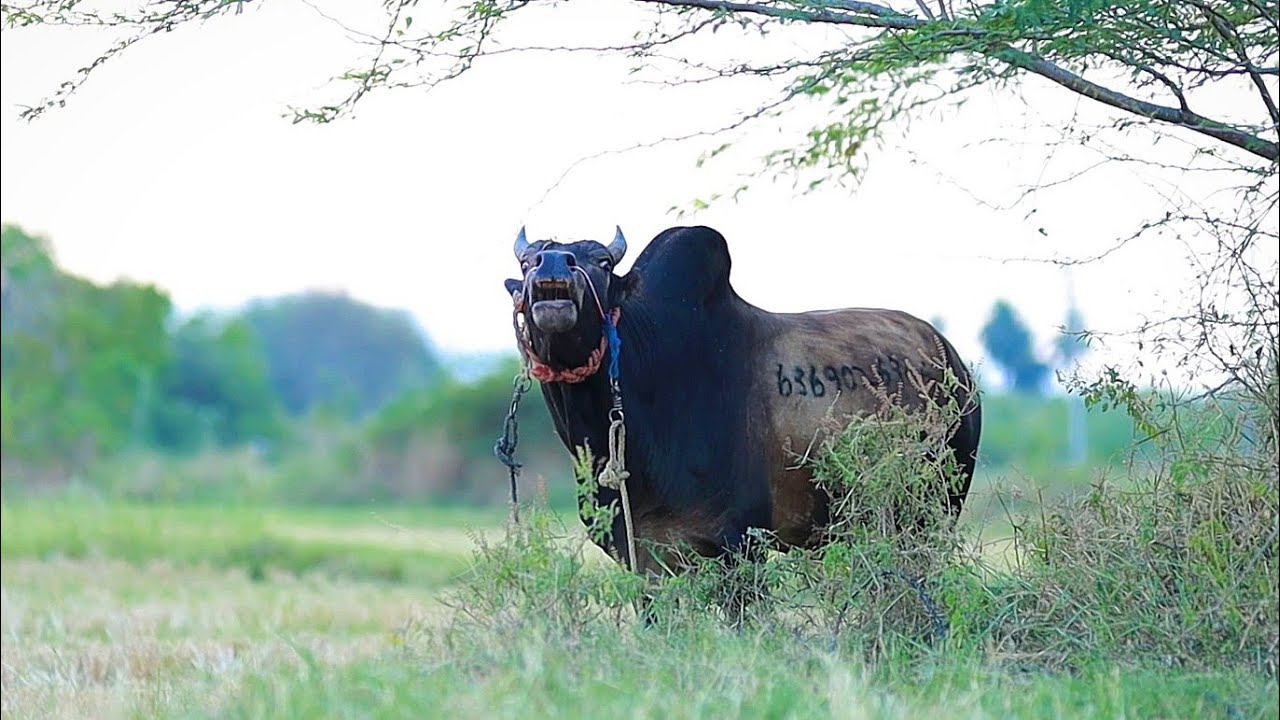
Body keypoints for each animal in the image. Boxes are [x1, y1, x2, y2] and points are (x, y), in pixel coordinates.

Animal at [503, 225, 981, 576]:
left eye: (602, 262)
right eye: (527, 261)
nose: (552, 264)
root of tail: (953, 361)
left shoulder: (736, 542)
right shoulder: (640, 552)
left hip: (936, 512)